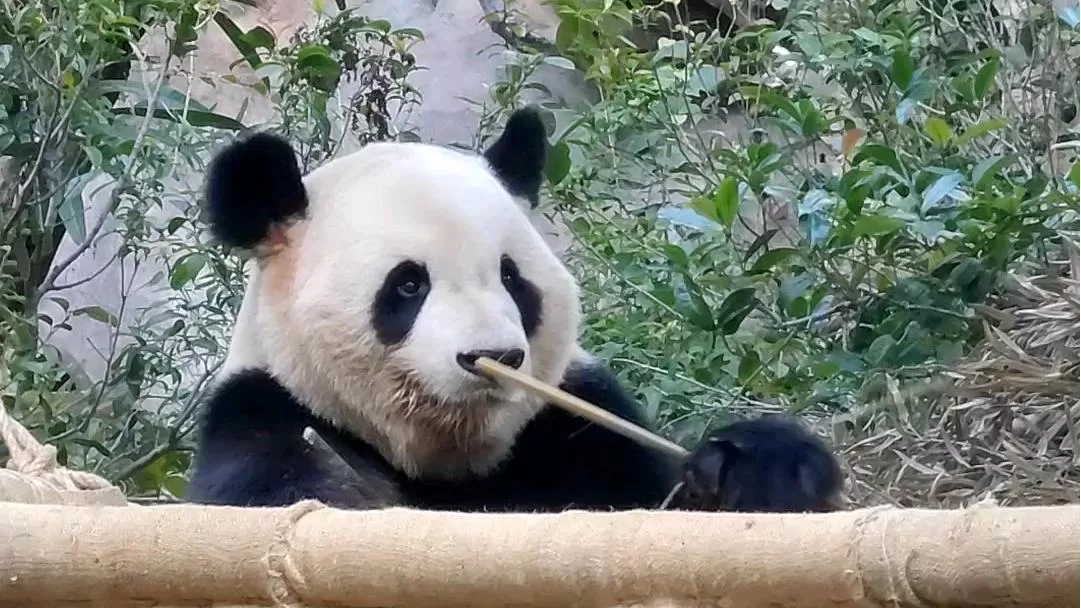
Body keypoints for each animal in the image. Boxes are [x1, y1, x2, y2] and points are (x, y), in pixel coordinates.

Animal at [184, 106, 843, 514]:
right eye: (408, 286)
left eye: (510, 278)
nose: (494, 355)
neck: (452, 457)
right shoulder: (265, 411)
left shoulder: (574, 427)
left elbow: (661, 501)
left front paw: (763, 466)